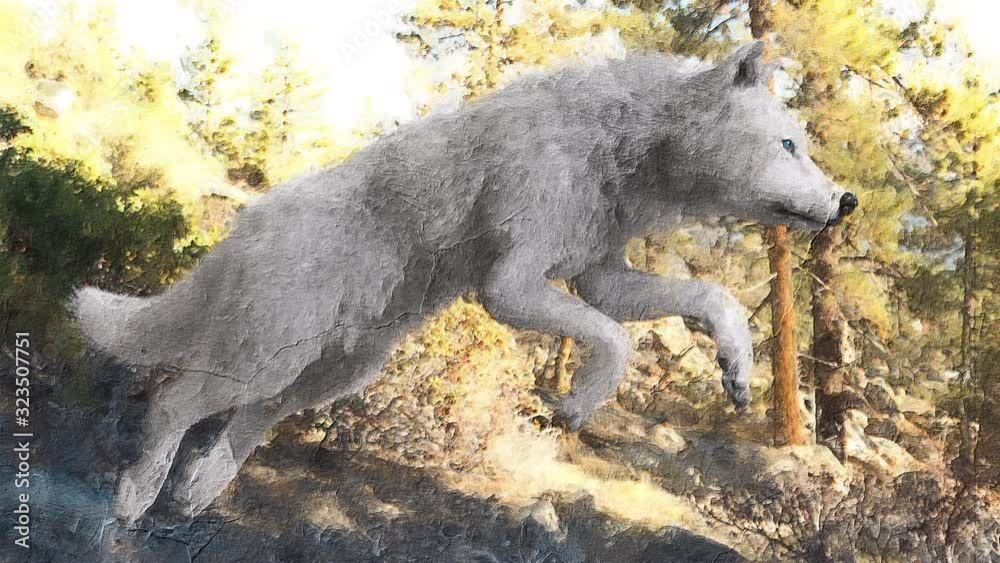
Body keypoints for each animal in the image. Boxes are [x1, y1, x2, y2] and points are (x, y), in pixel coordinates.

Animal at [74, 41, 856, 524]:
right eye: (790, 144)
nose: (847, 202)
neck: (622, 148)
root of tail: (241, 228)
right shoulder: (511, 286)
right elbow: (615, 343)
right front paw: (579, 404)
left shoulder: (602, 276)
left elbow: (711, 301)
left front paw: (736, 369)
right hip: (263, 359)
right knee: (172, 401)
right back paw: (135, 498)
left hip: (333, 372)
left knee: (248, 423)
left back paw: (196, 494)